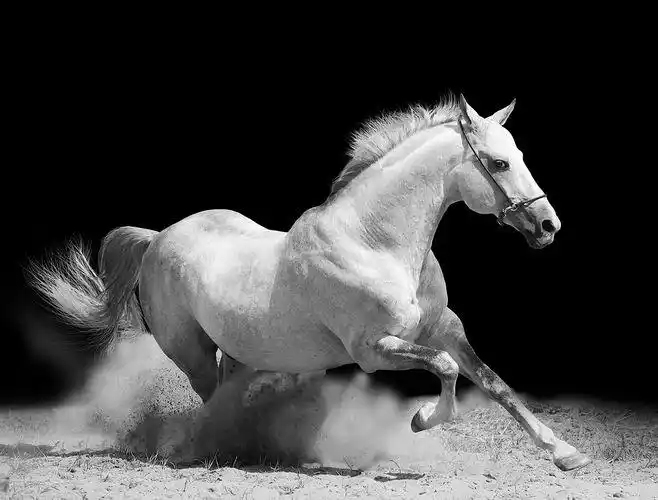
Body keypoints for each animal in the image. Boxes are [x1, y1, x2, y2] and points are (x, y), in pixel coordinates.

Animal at [28, 94, 591, 471]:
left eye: (520, 155)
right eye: (498, 162)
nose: (548, 226)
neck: (373, 242)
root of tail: (159, 237)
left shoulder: (444, 328)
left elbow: (494, 382)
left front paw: (566, 453)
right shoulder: (374, 348)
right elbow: (448, 370)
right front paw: (420, 420)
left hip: (238, 352)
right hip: (190, 352)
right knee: (212, 401)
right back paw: (220, 450)